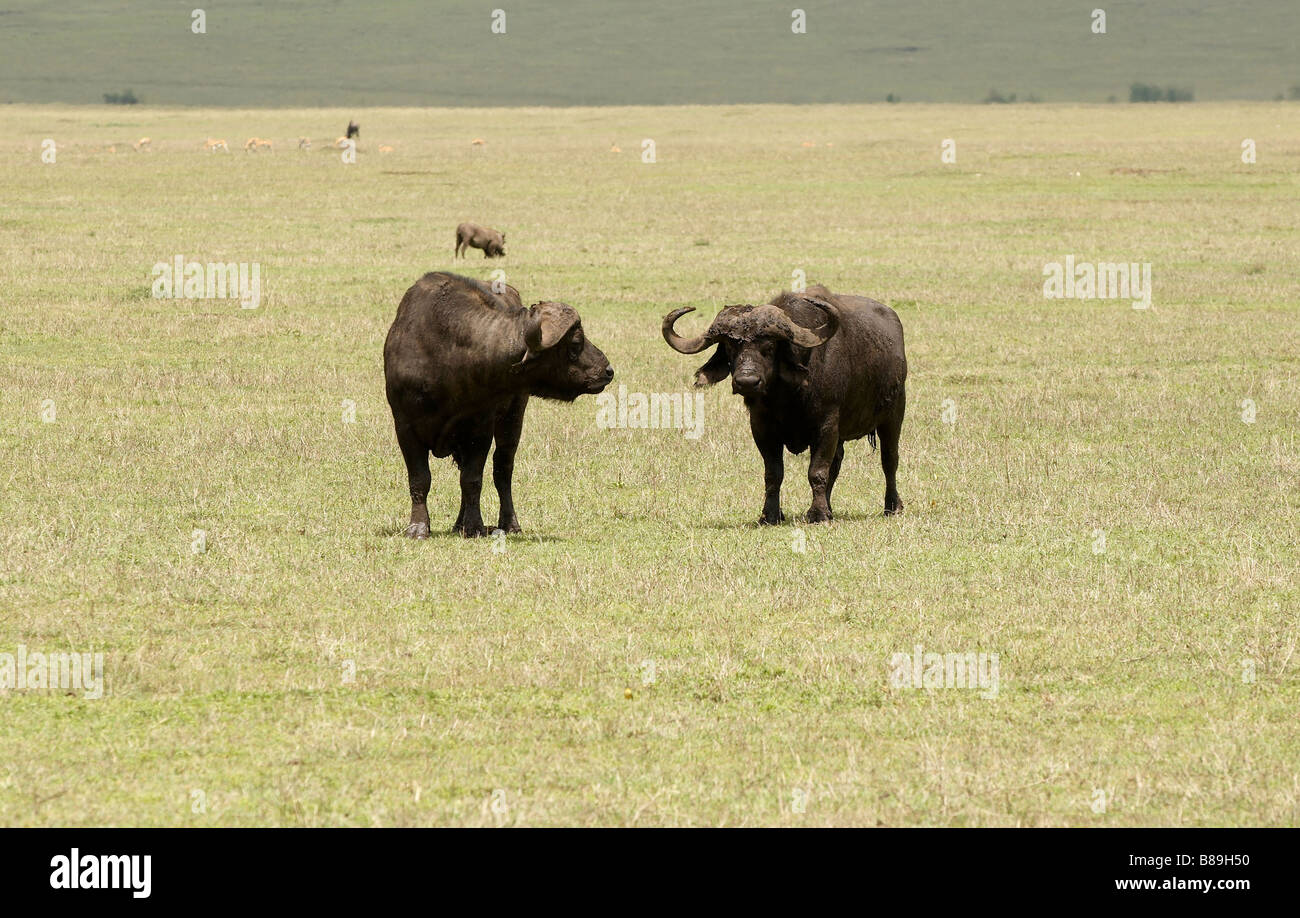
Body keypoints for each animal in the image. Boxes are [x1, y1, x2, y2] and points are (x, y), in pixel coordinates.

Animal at [384, 272, 614, 538]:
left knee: (502, 469)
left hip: (513, 417)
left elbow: (472, 479)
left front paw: (474, 526)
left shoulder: (480, 427)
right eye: (576, 343)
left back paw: (506, 523)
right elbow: (420, 478)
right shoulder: (405, 426)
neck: (447, 356)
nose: (608, 370)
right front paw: (418, 527)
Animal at [662, 285, 906, 524]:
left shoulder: (827, 424)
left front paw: (818, 515)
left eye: (770, 347)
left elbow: (817, 471)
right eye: (730, 347)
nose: (747, 382)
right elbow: (773, 473)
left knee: (889, 460)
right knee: (837, 464)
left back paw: (892, 507)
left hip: (893, 415)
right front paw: (770, 514)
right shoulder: (761, 426)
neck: (787, 398)